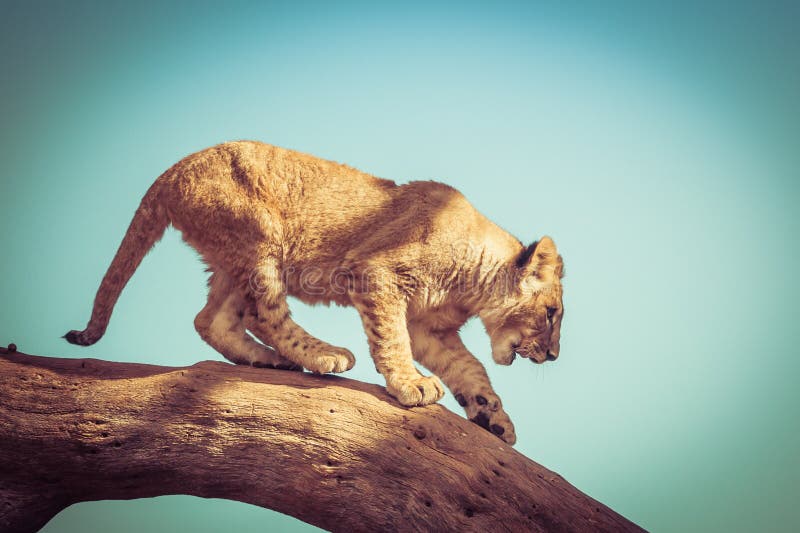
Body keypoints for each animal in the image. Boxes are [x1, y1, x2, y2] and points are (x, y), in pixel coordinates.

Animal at [65, 141, 564, 444]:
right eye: (552, 314)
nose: (554, 356)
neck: (471, 284)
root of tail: (176, 167)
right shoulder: (377, 274)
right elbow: (393, 342)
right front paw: (412, 385)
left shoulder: (430, 329)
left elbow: (472, 369)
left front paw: (494, 418)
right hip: (260, 235)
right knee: (266, 314)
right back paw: (323, 355)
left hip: (233, 256)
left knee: (212, 319)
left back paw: (270, 361)